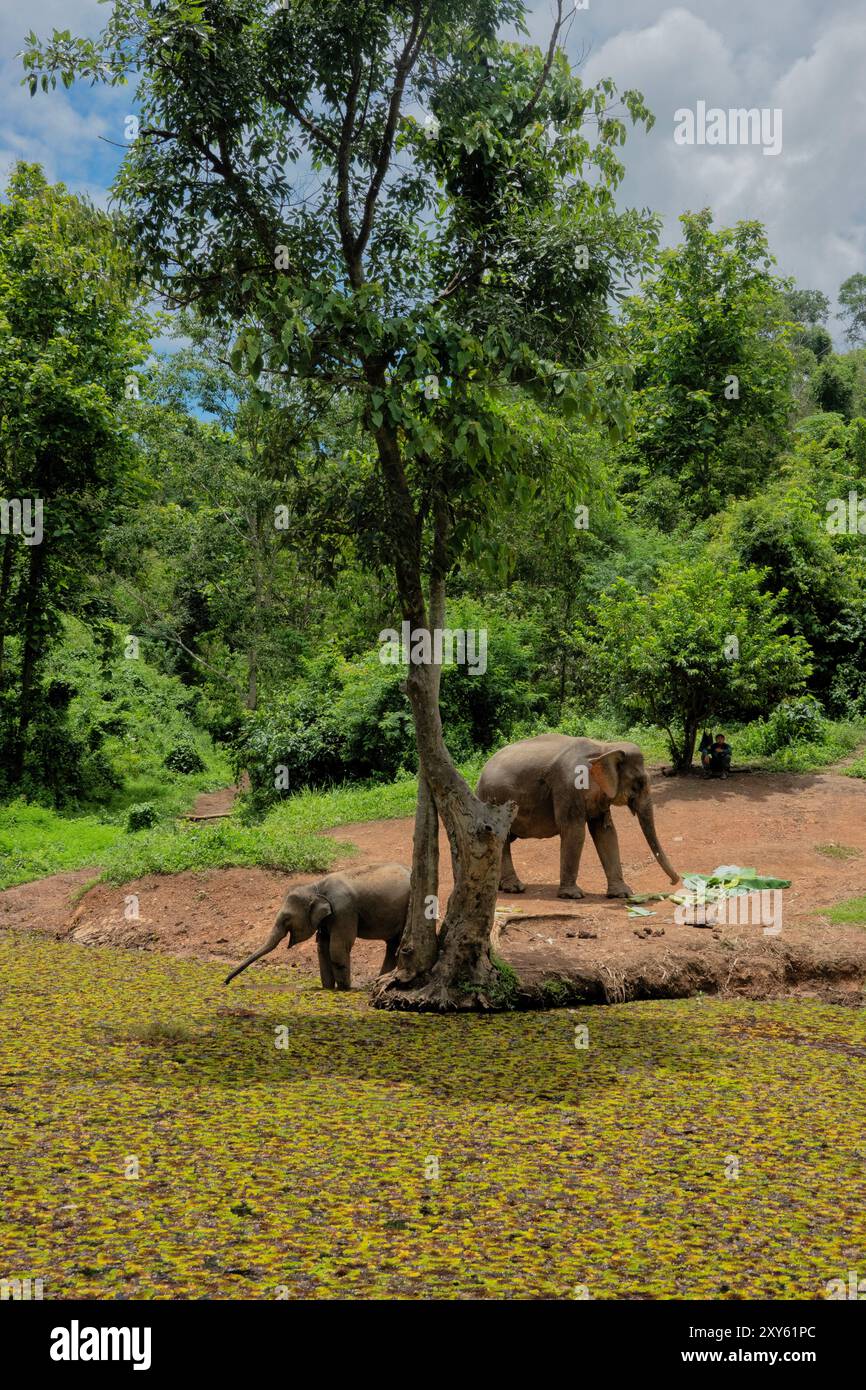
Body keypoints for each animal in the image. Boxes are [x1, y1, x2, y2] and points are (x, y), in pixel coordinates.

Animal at [223, 863, 411, 990]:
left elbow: (338, 947)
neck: (315, 886)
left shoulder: (344, 910)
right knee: (392, 945)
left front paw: (345, 989)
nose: (225, 982)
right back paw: (377, 982)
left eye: (287, 919)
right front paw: (328, 988)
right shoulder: (328, 917)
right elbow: (322, 947)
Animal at [477, 734, 679, 900]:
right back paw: (514, 888)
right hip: (495, 800)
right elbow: (574, 832)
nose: (673, 882)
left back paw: (502, 887)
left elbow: (606, 833)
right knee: (500, 838)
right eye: (639, 784)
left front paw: (622, 894)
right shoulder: (568, 787)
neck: (605, 748)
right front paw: (572, 895)